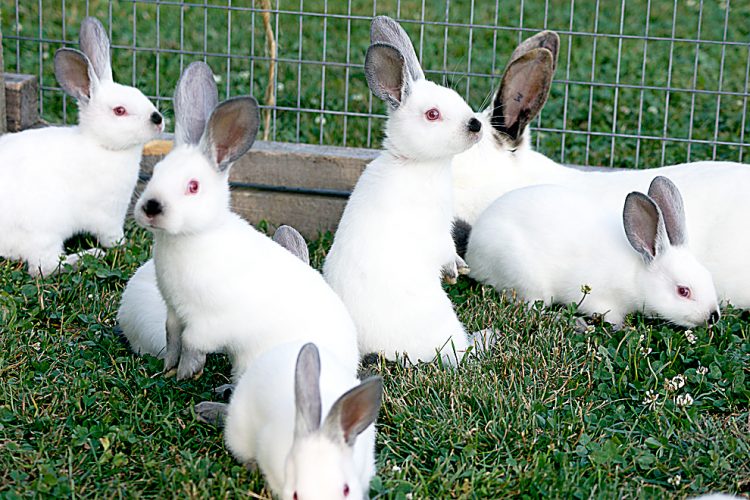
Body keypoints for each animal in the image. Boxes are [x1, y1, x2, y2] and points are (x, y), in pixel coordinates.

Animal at [0, 17, 163, 276]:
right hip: (43, 231)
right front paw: (122, 245)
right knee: (43, 267)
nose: (158, 119)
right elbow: (112, 237)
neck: (100, 144)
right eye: (119, 110)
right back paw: (89, 256)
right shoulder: (108, 216)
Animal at [323, 16, 483, 366]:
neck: (414, 164)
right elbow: (446, 251)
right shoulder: (437, 233)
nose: (476, 125)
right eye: (432, 114)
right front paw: (455, 270)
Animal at [462, 176, 721, 328]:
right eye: (683, 291)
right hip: (528, 279)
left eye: (709, 277)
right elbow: (610, 317)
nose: (713, 316)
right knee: (532, 309)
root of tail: (473, 253)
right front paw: (624, 328)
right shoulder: (599, 299)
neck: (637, 274)